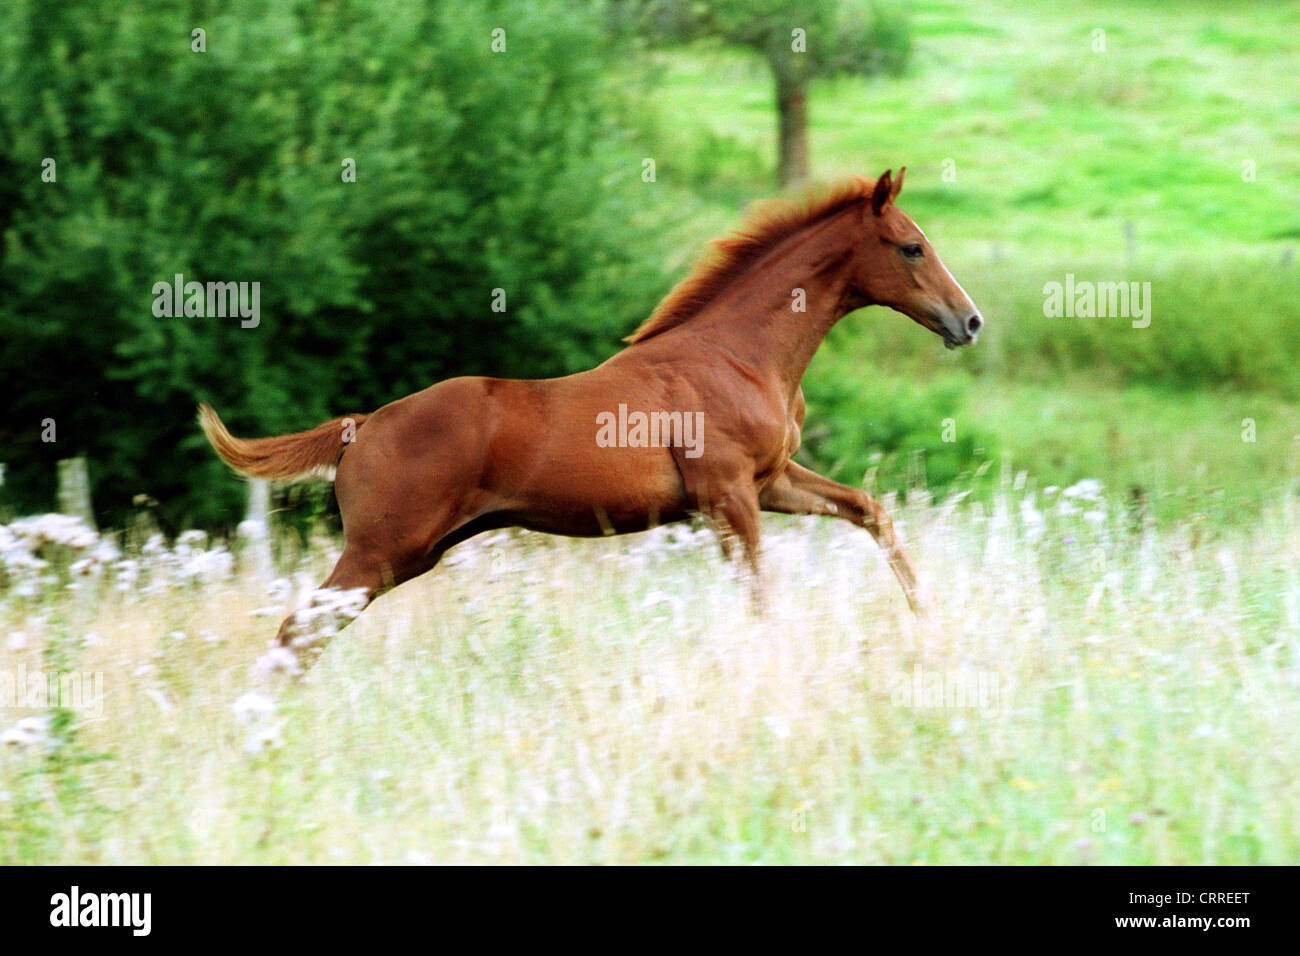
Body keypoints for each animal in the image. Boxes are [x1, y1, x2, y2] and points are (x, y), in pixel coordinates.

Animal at [199, 169, 982, 661]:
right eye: (912, 246)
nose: (969, 321)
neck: (738, 352)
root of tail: (361, 426)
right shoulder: (728, 497)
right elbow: (761, 593)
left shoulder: (773, 481)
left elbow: (870, 510)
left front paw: (930, 619)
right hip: (380, 552)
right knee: (297, 628)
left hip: (410, 555)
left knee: (306, 631)